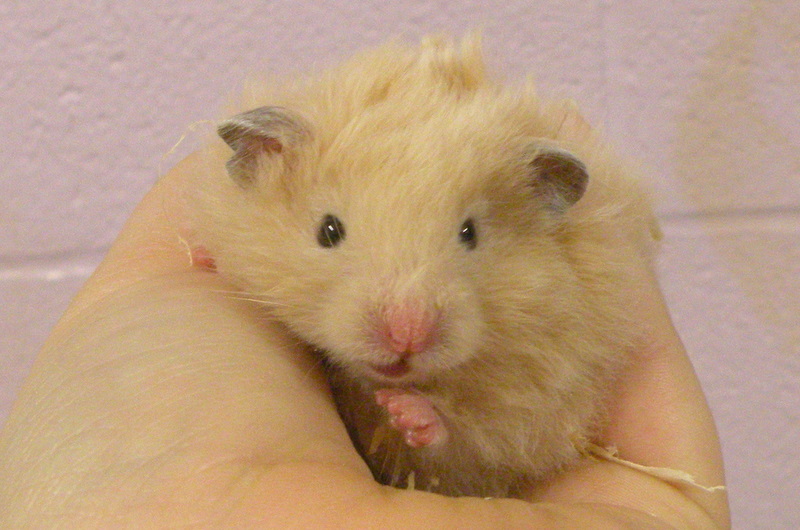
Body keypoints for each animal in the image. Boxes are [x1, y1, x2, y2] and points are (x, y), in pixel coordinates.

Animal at [190, 36, 659, 499]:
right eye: (328, 230)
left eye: (470, 233)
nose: (407, 335)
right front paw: (203, 258)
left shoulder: (534, 408)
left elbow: (460, 443)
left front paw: (406, 412)